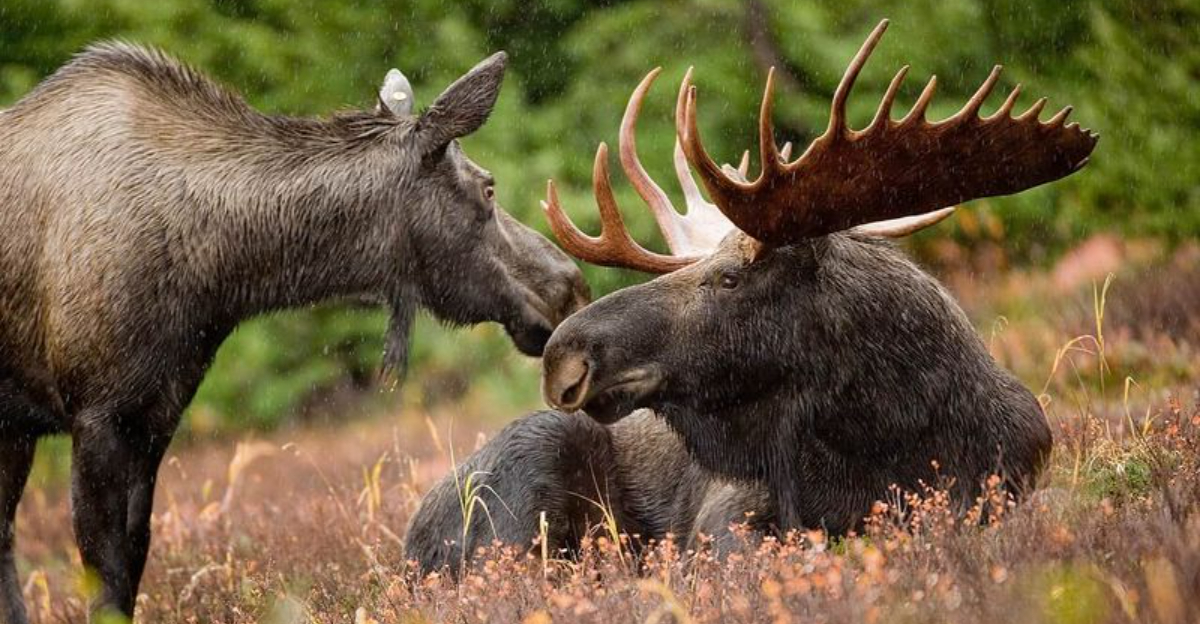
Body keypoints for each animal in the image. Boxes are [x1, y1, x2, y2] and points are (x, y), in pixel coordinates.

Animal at [0, 43, 589, 622]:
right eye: (488, 188)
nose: (570, 285)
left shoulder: (155, 415)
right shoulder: (96, 414)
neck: (217, 275)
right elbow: (105, 575)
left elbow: (133, 557)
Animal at [404, 19, 1097, 576]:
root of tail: (409, 545)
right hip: (531, 465)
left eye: (731, 278)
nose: (563, 355)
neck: (892, 436)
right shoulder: (730, 514)